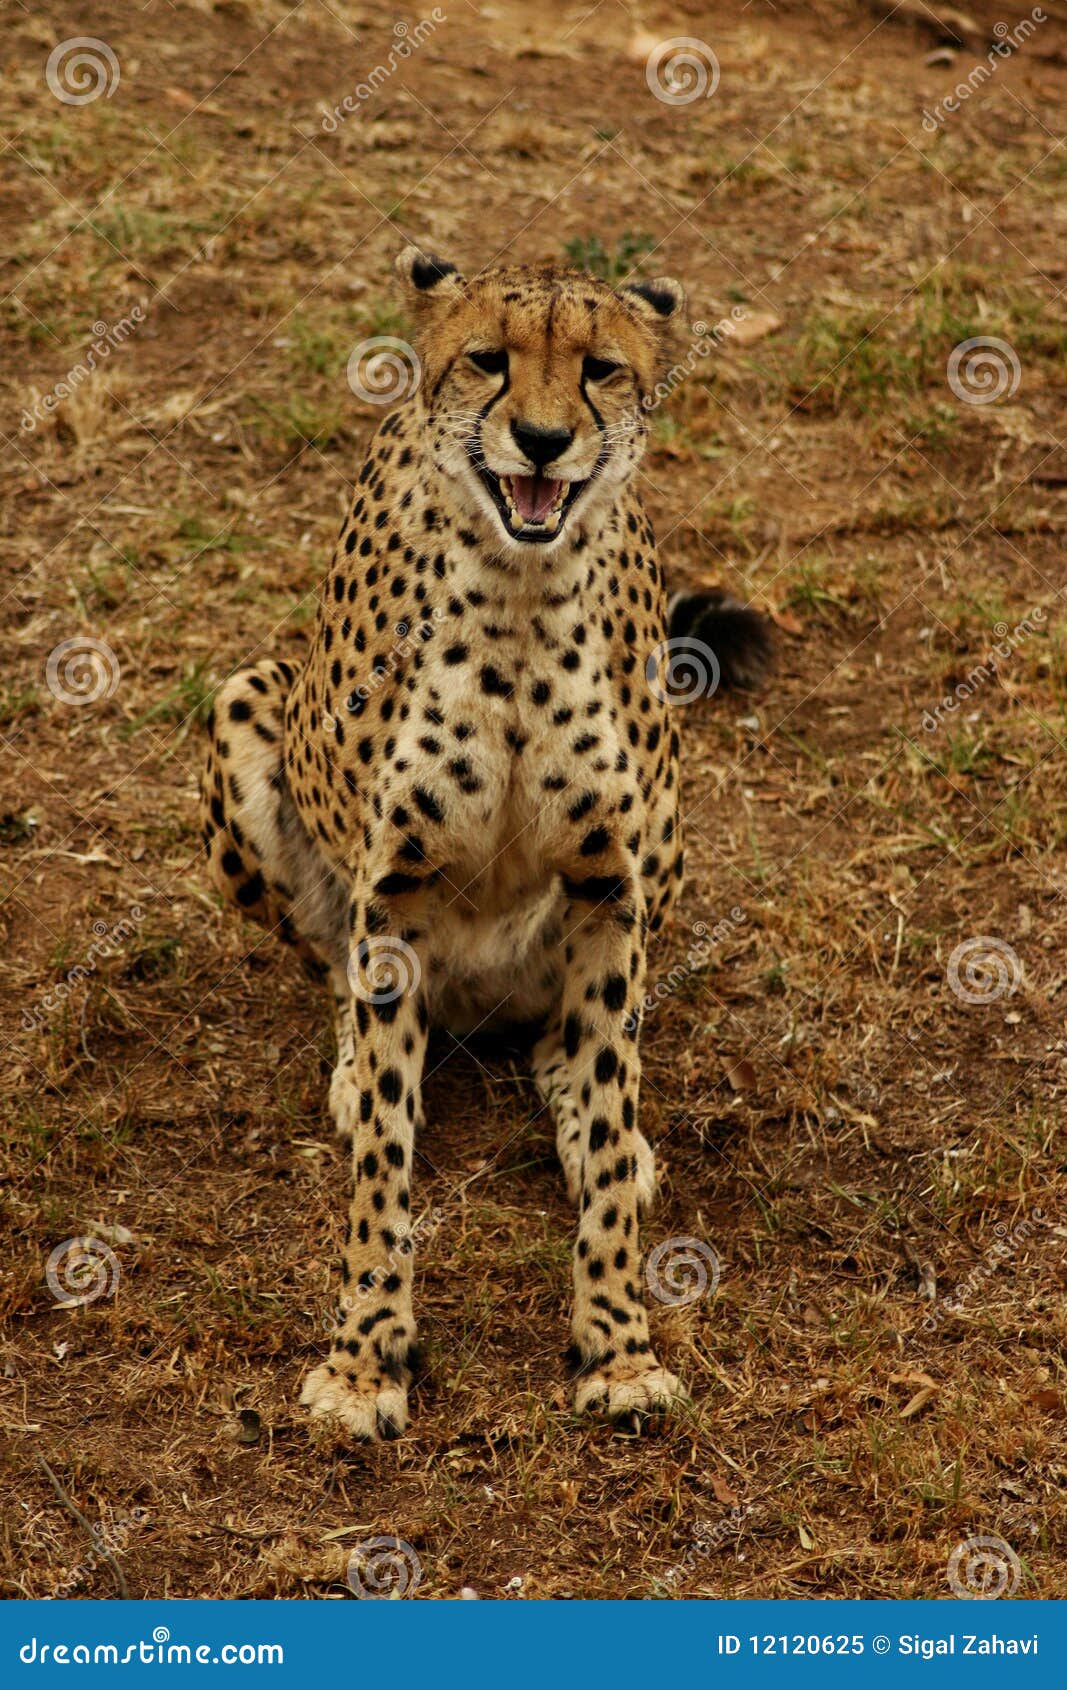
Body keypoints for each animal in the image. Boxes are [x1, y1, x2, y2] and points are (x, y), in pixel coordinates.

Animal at [199, 245, 772, 1441]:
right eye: (487, 361)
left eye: (599, 369)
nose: (543, 441)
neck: (518, 593)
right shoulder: (394, 896)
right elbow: (382, 1157)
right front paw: (364, 1359)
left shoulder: (608, 887)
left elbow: (607, 1125)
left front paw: (618, 1349)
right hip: (250, 700)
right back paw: (352, 1064)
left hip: (663, 829)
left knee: (572, 1047)